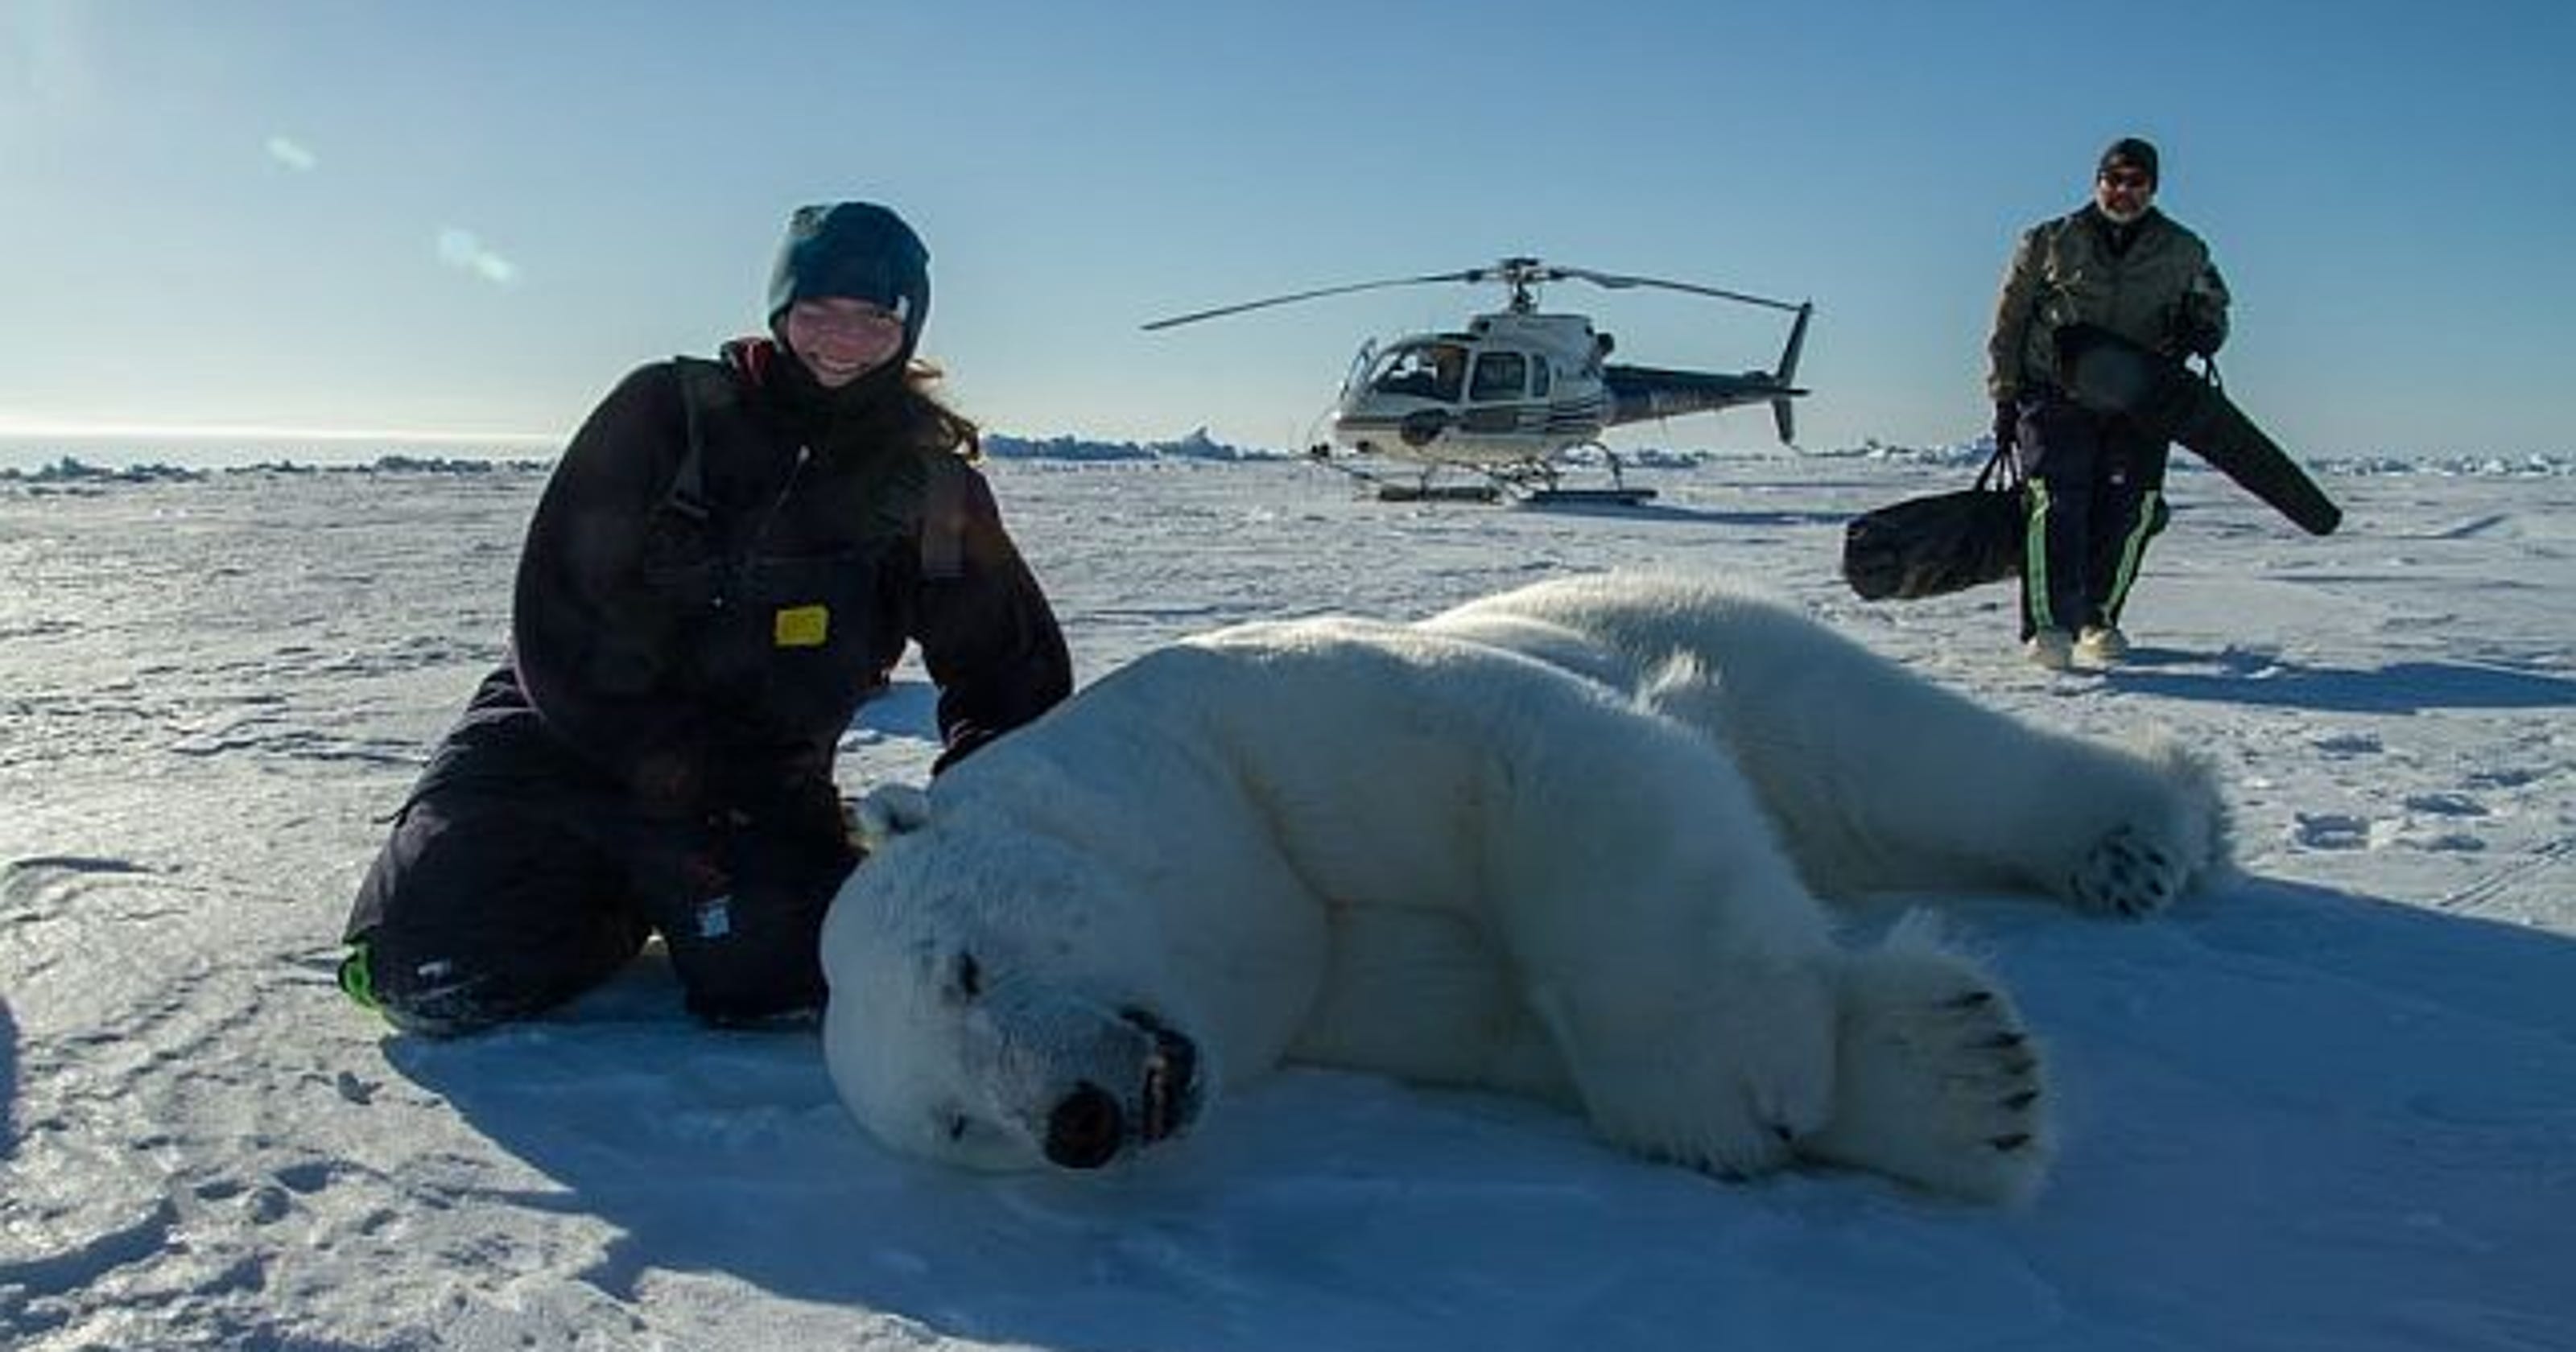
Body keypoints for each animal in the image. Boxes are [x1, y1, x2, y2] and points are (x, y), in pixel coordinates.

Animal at [819, 571, 2228, 1203]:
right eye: (957, 1122)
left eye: (968, 967)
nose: (1077, 1119)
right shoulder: (1339, 987)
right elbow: (1500, 1018)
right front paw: (1962, 1081)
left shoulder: (1256, 736)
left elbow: (1543, 766)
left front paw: (1740, 1079)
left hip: (1697, 627)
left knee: (1892, 757)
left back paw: (2147, 834)